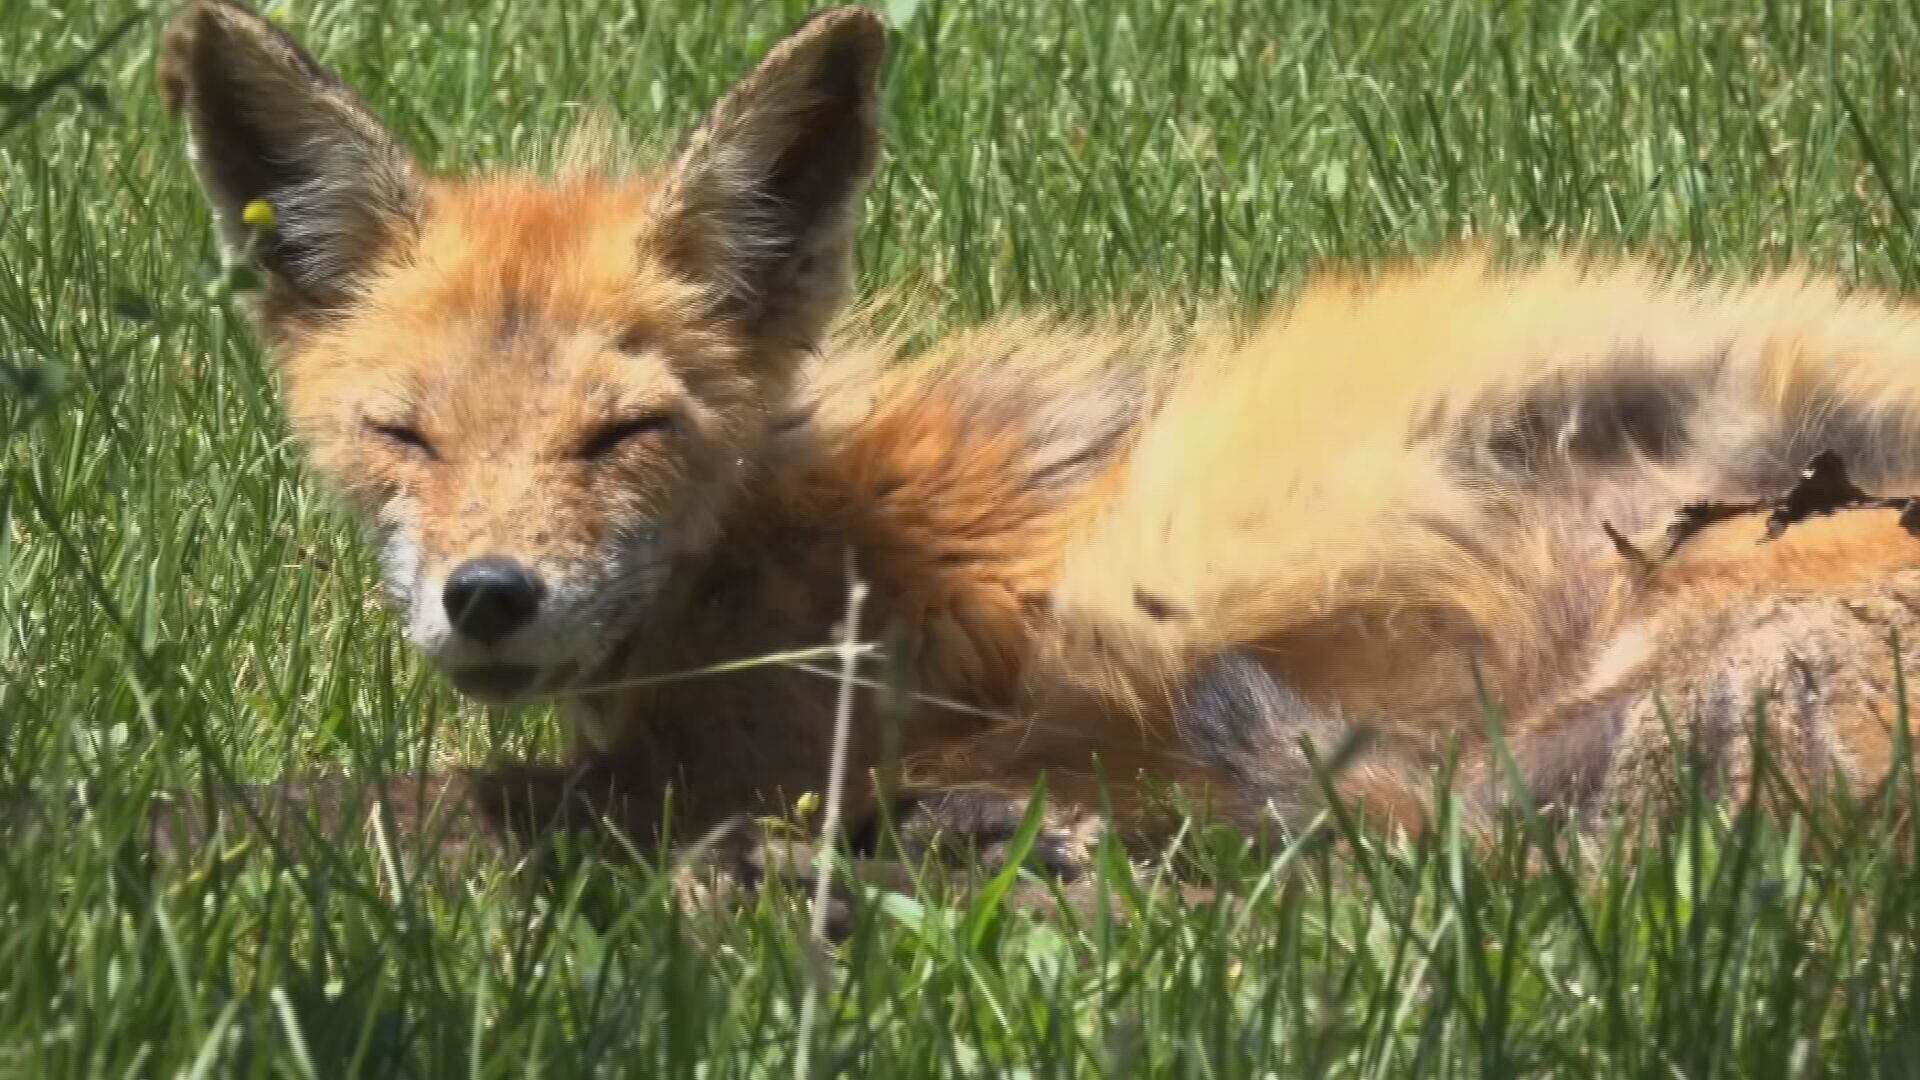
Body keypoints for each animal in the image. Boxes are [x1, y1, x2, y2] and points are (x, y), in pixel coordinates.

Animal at [145, 0, 1920, 880]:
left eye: (622, 432)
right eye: (403, 433)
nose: (490, 598)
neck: (804, 537)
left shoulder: (723, 761)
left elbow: (356, 801)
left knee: (1414, 867)